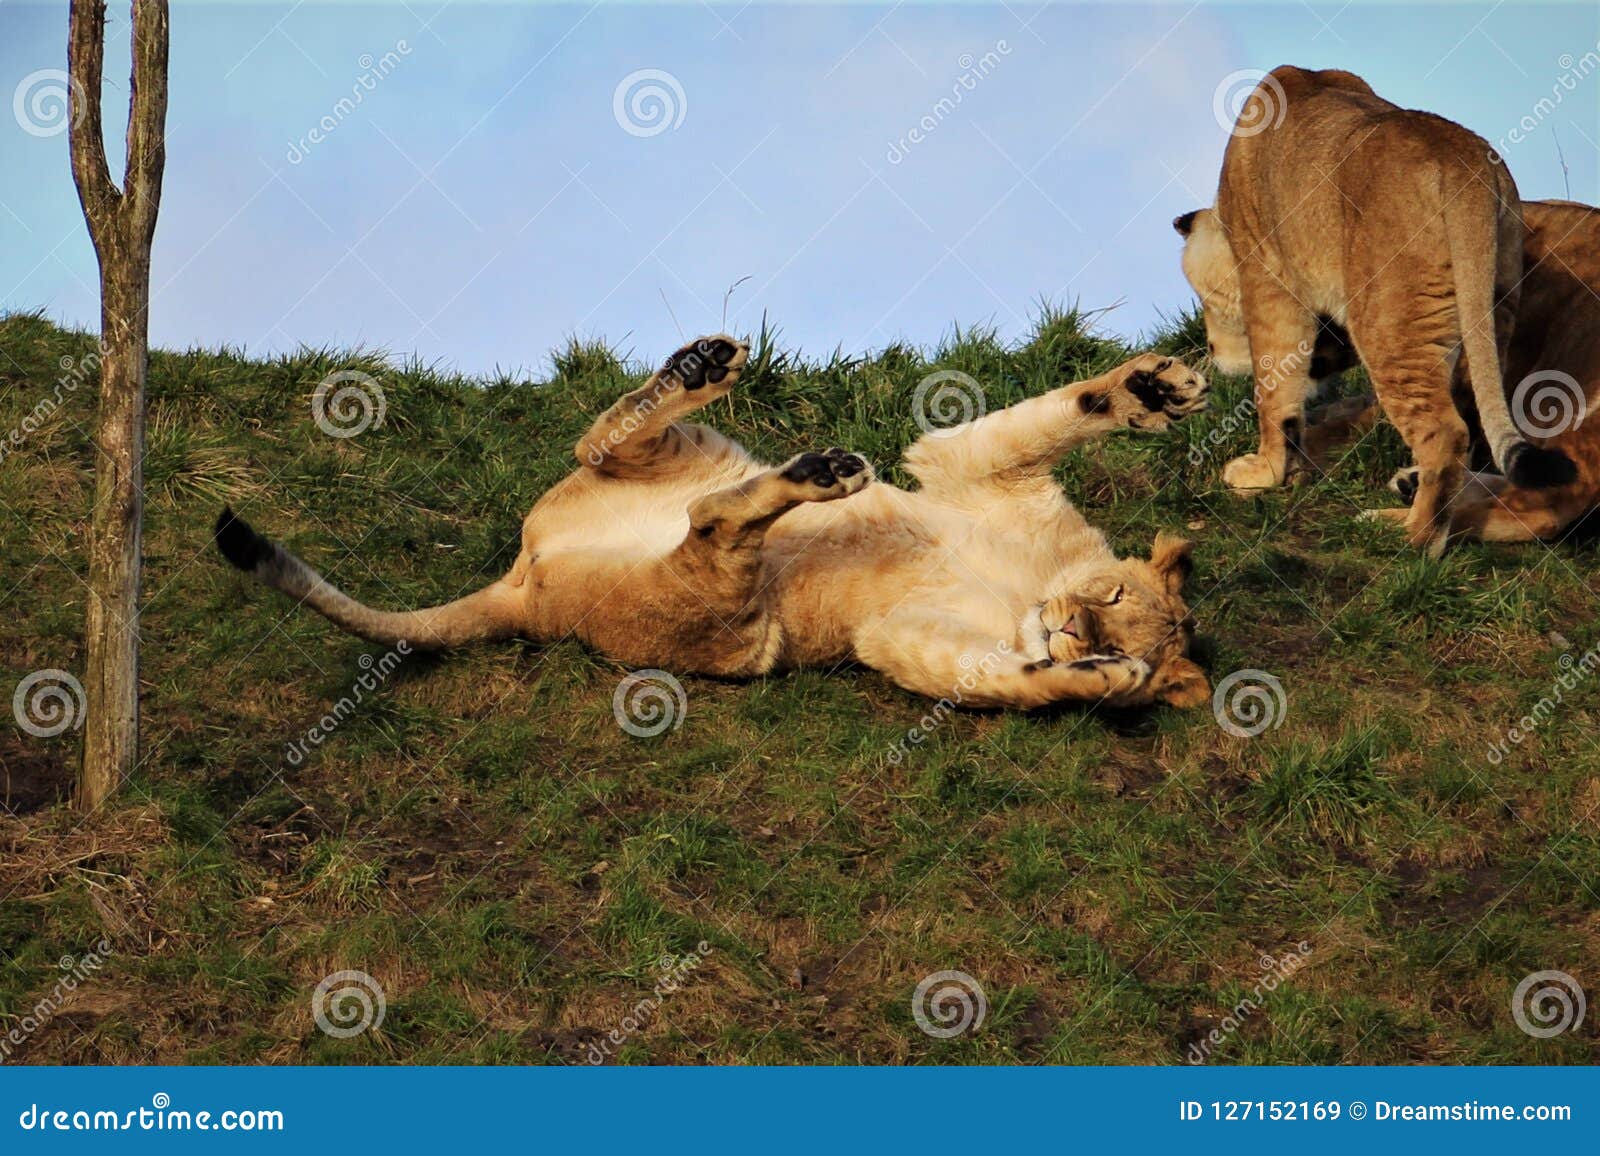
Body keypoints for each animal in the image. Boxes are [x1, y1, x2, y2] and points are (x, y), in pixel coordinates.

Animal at [215, 337, 1213, 712]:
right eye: (1109, 595)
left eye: (1121, 624)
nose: (1072, 631)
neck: (1027, 594)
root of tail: (525, 584)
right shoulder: (969, 465)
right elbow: (1059, 413)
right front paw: (1156, 388)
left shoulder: (896, 638)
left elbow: (1011, 680)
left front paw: (1100, 677)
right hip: (703, 497)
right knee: (637, 466)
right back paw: (720, 379)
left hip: (735, 626)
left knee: (690, 513)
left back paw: (804, 462)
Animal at [1173, 65, 1575, 554]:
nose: (1211, 350)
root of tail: (1462, 159)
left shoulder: (1269, 279)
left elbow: (1274, 389)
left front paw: (1263, 472)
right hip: (1492, 306)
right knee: (1471, 415)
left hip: (1390, 323)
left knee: (1446, 433)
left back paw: (1405, 534)